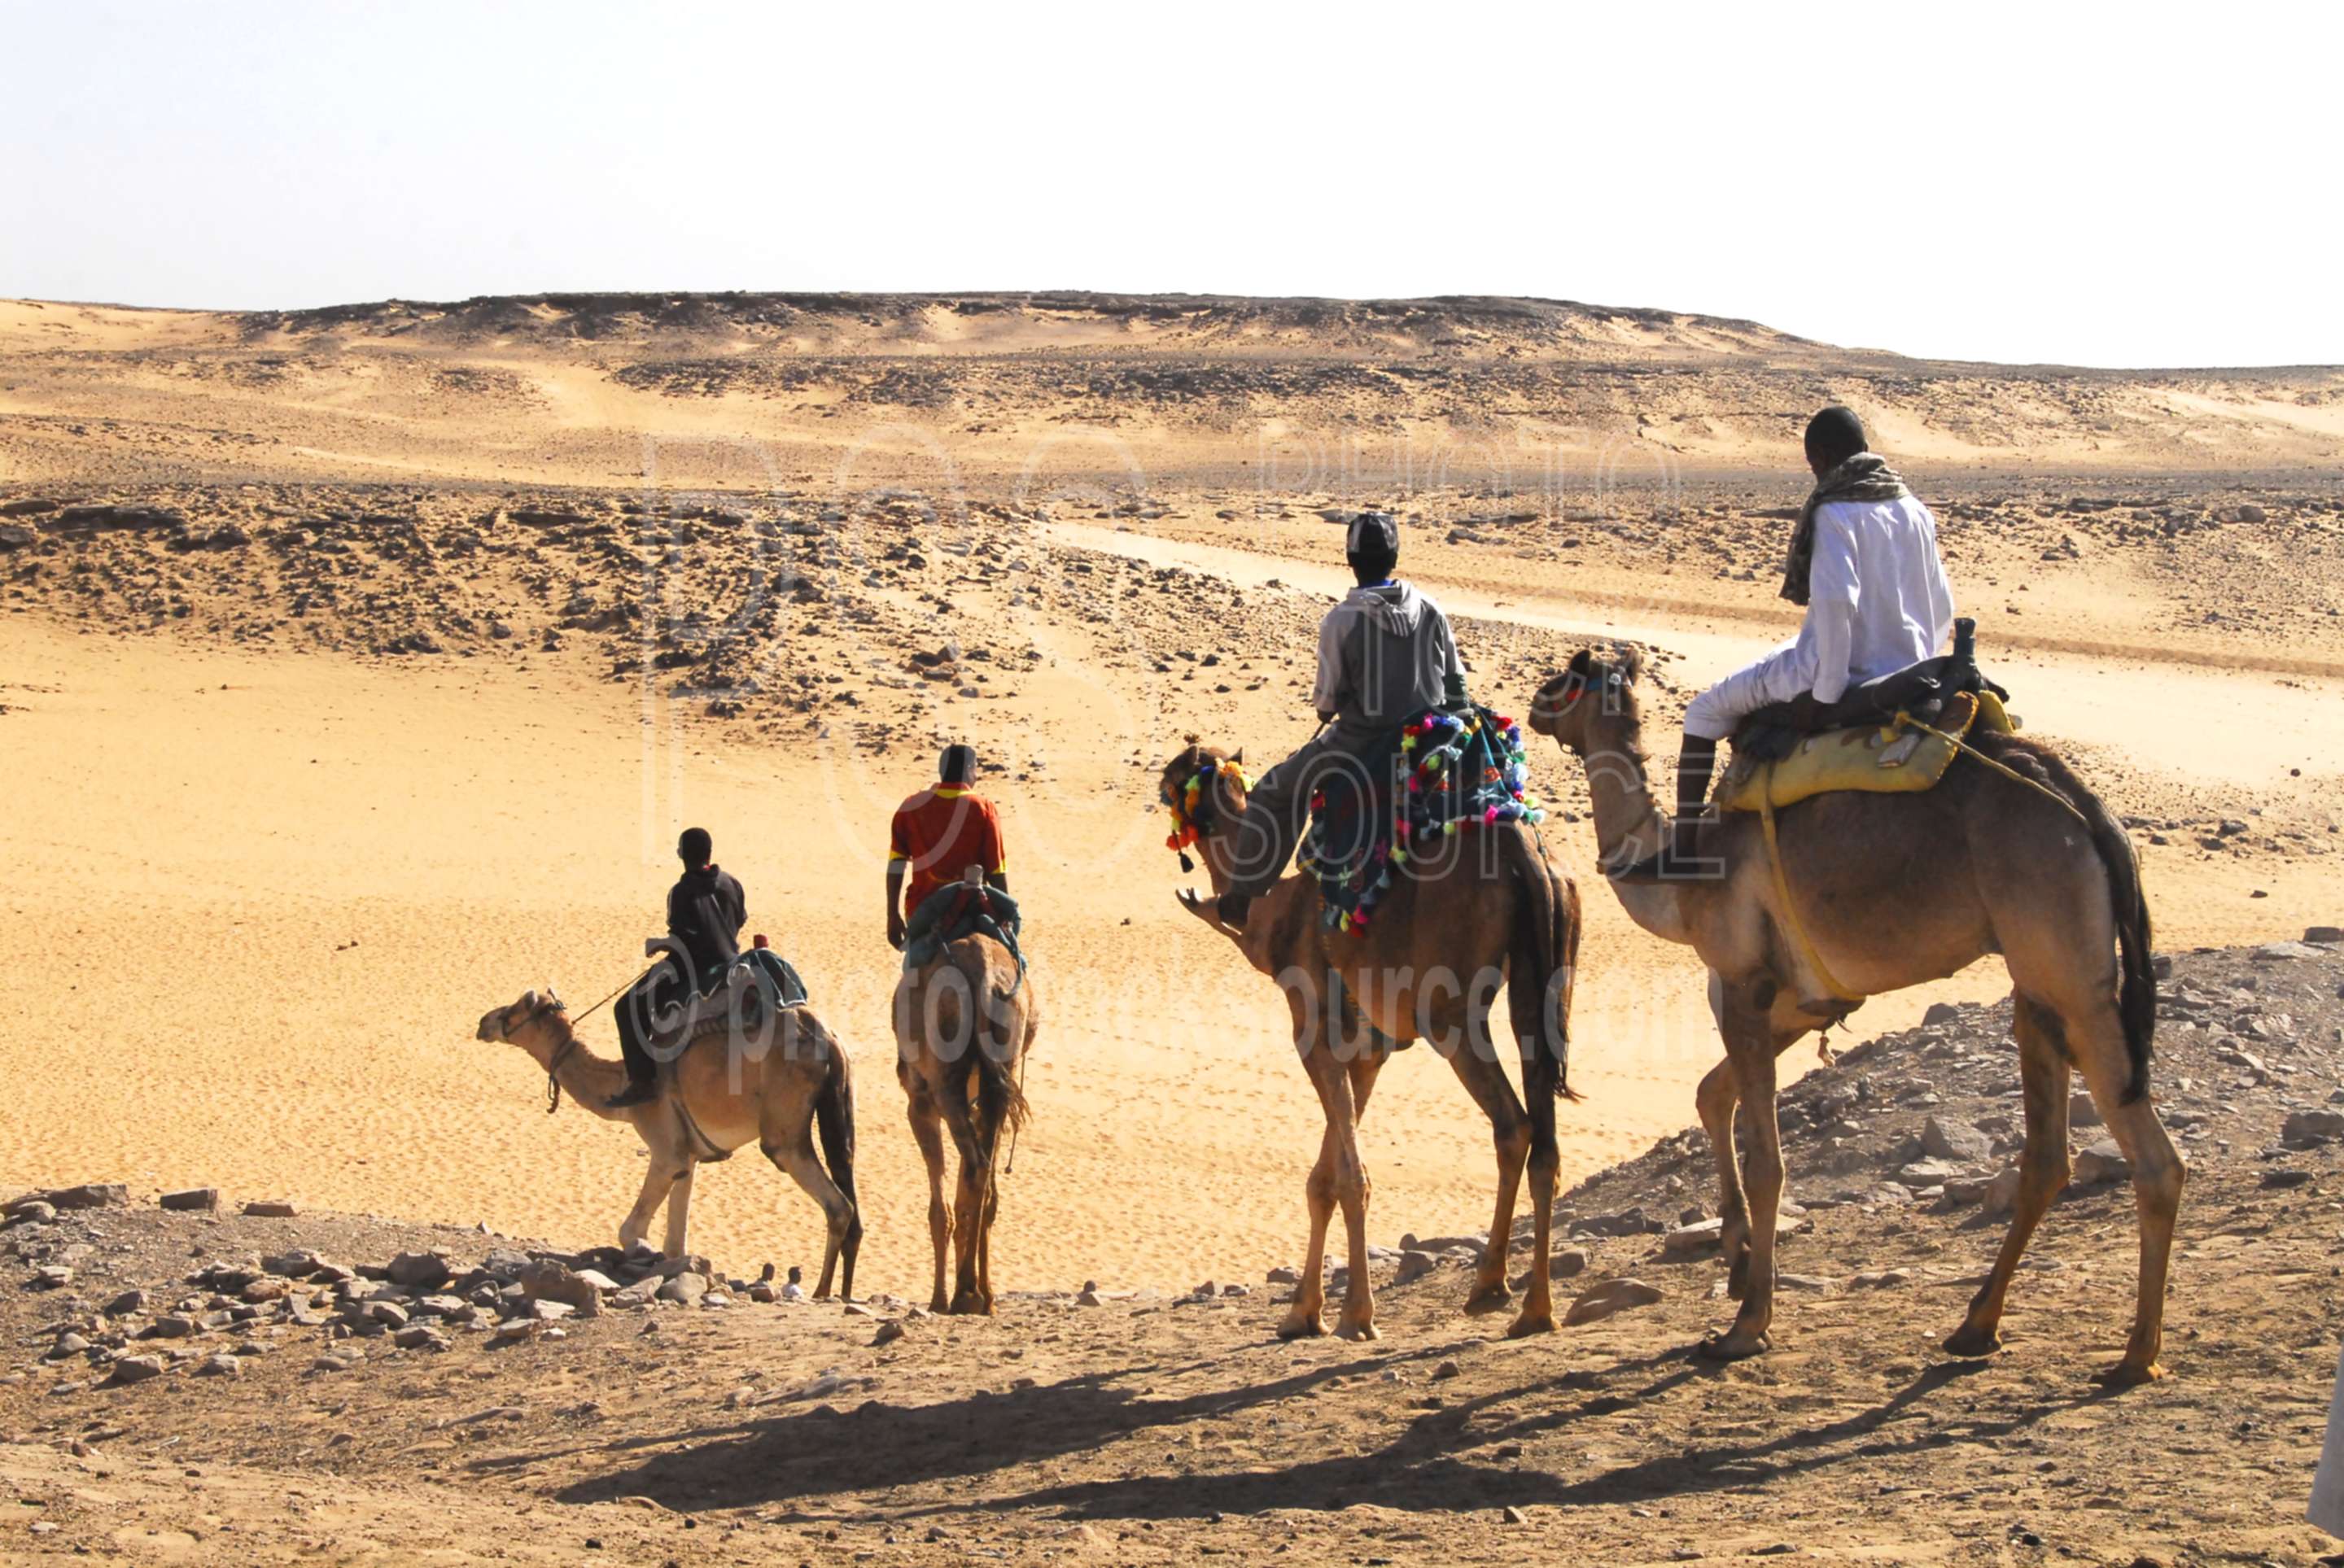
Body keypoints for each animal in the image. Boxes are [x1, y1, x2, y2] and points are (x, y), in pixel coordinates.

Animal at [473, 986, 862, 1298]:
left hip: (784, 1133)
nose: (483, 1022)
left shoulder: (665, 1150)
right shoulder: (687, 1158)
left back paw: (822, 1291)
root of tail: (828, 1040)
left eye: (514, 1010)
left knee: (835, 1203)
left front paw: (642, 1256)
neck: (621, 1084)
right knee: (847, 1184)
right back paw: (844, 1294)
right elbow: (676, 1243)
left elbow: (631, 1231)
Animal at [893, 932, 1038, 1315]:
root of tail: (984, 976)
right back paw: (982, 1294)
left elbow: (940, 1209)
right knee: (985, 1176)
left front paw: (938, 1298)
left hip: (944, 1082)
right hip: (1000, 1072)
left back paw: (963, 1293)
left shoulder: (919, 1104)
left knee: (976, 1167)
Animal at [1160, 741, 1579, 1341]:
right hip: (1542, 984)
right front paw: (1303, 1312)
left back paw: (1495, 1290)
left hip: (1448, 1014)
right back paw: (1526, 1306)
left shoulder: (1314, 1031)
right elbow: (1324, 1179)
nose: (1161, 778)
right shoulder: (1368, 1055)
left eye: (1181, 778)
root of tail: (1530, 860)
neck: (1273, 906)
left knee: (1513, 1123)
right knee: (1540, 1135)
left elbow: (1349, 1176)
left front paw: (1355, 1315)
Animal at [1527, 648, 2180, 1384]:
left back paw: (2136, 1354)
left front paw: (1746, 1324)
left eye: (1567, 677)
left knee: (2154, 1160)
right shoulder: (1798, 1000)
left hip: (2069, 969)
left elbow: (1767, 1160)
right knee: (2046, 1155)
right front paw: (1737, 1257)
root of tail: (2090, 812)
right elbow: (1711, 1092)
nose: (1533, 703)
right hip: (2035, 978)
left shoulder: (1742, 981)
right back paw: (1977, 1327)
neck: (1675, 875)